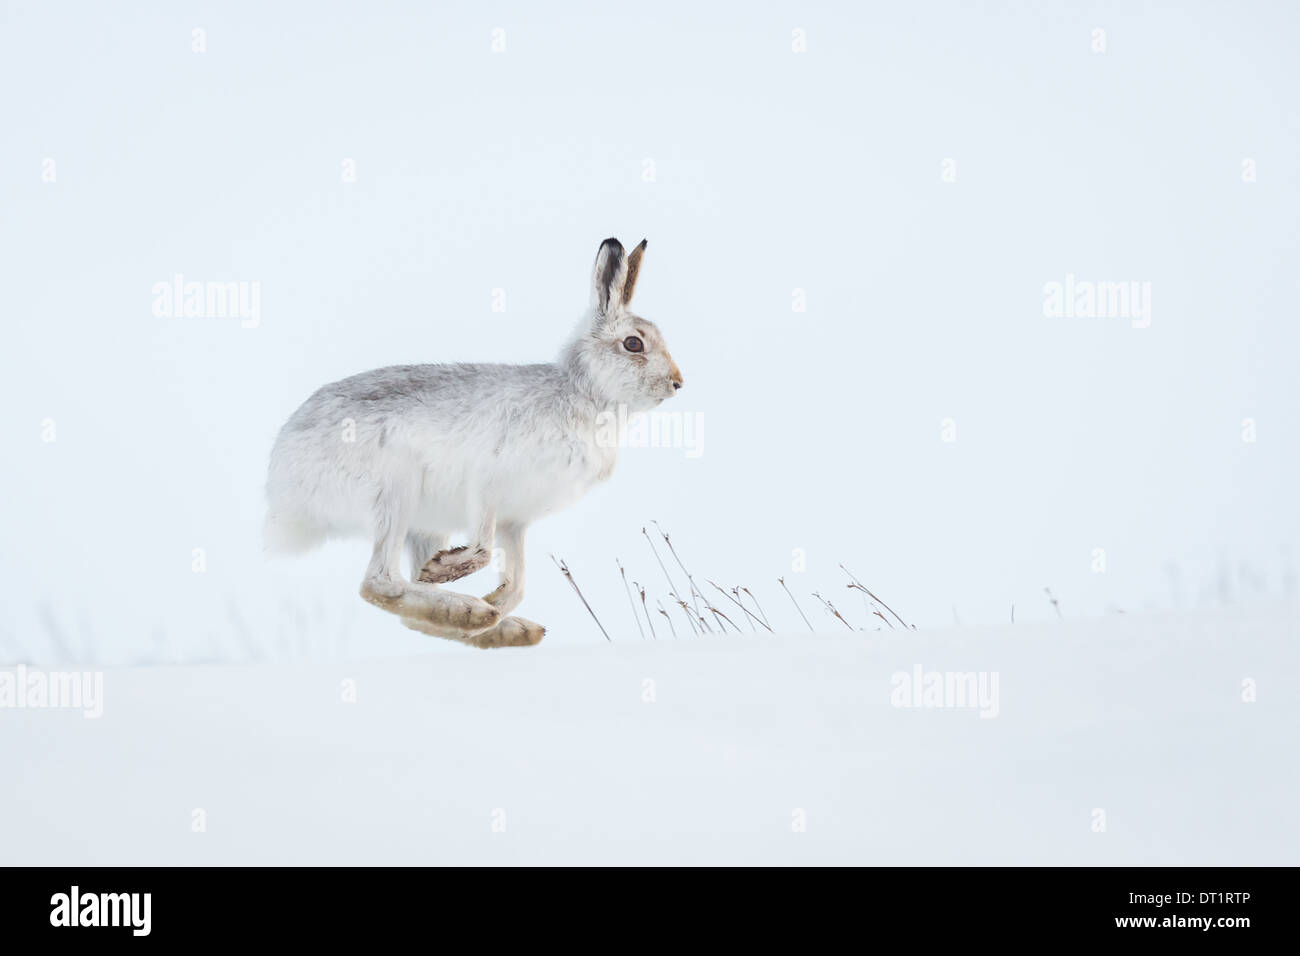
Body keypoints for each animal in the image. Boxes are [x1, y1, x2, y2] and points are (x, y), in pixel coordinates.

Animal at [264, 238, 684, 648]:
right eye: (633, 344)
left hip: (422, 523)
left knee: (405, 606)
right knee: (378, 582)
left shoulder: (516, 521)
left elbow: (518, 582)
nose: (678, 383)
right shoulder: (486, 483)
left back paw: (500, 626)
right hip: (394, 490)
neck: (585, 393)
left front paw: (493, 601)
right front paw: (451, 574)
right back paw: (471, 611)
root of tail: (280, 486)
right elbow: (482, 549)